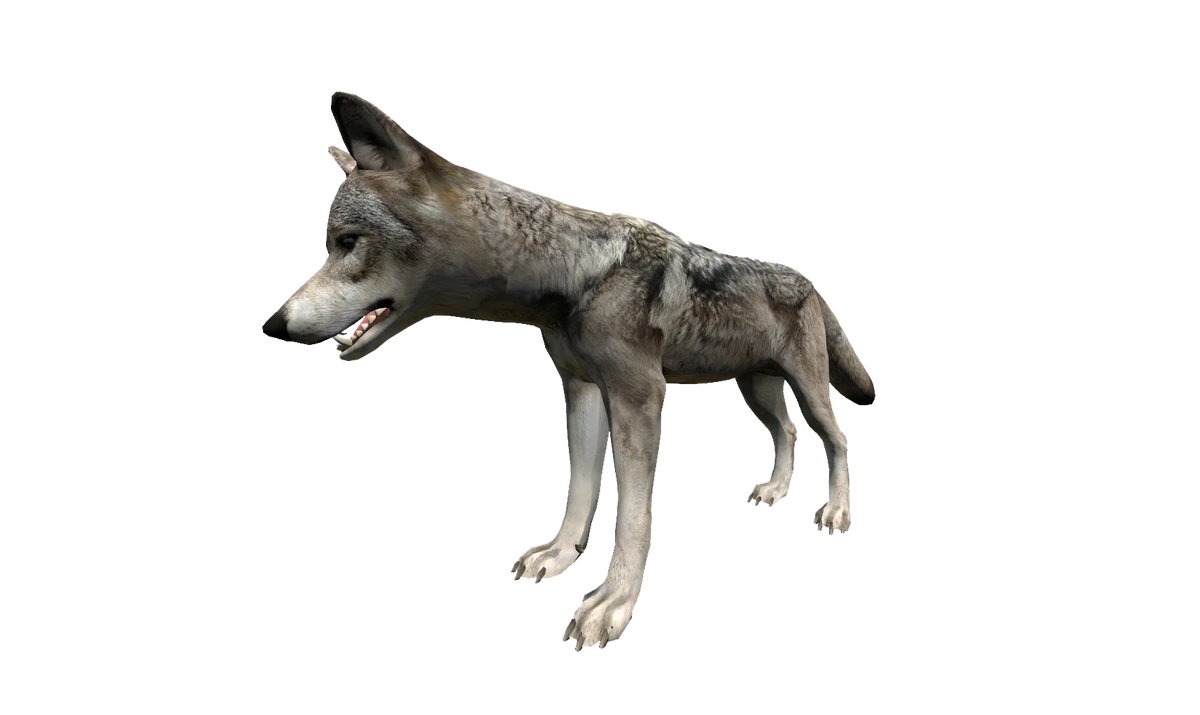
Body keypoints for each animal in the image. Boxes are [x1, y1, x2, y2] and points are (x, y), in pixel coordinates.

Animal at [262, 90, 877, 651]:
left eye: (348, 243)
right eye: (329, 244)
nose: (272, 325)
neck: (572, 273)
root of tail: (806, 279)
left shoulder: (639, 397)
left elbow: (633, 513)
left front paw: (612, 605)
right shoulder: (580, 390)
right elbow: (580, 486)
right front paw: (559, 557)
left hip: (805, 388)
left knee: (839, 435)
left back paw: (837, 511)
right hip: (758, 391)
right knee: (788, 429)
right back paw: (775, 491)